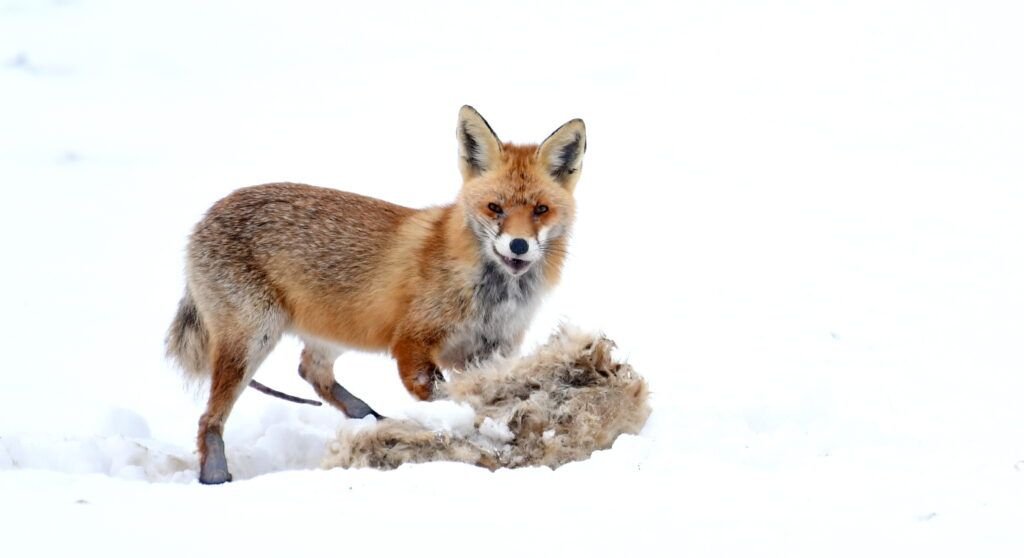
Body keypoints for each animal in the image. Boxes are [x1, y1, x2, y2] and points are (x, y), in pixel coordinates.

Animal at [166, 106, 586, 484]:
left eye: (540, 209)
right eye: (495, 208)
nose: (518, 246)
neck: (494, 296)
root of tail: (205, 216)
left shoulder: (492, 352)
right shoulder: (411, 344)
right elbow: (443, 395)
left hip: (331, 331)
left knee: (311, 371)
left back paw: (370, 418)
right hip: (252, 341)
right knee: (210, 418)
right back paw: (215, 476)